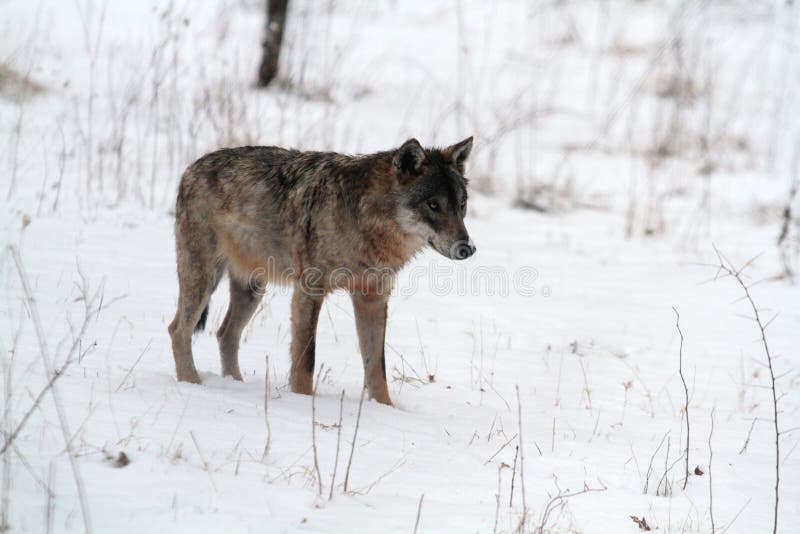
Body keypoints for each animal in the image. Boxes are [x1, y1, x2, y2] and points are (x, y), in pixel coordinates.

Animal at [168, 137, 475, 405]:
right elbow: (306, 360)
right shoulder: (309, 292)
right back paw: (191, 383)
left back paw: (235, 385)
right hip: (204, 278)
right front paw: (303, 403)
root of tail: (190, 169)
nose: (468, 248)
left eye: (461, 205)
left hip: (252, 290)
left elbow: (377, 368)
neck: (365, 224)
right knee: (178, 330)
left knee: (225, 334)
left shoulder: (373, 300)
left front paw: (385, 409)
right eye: (433, 205)